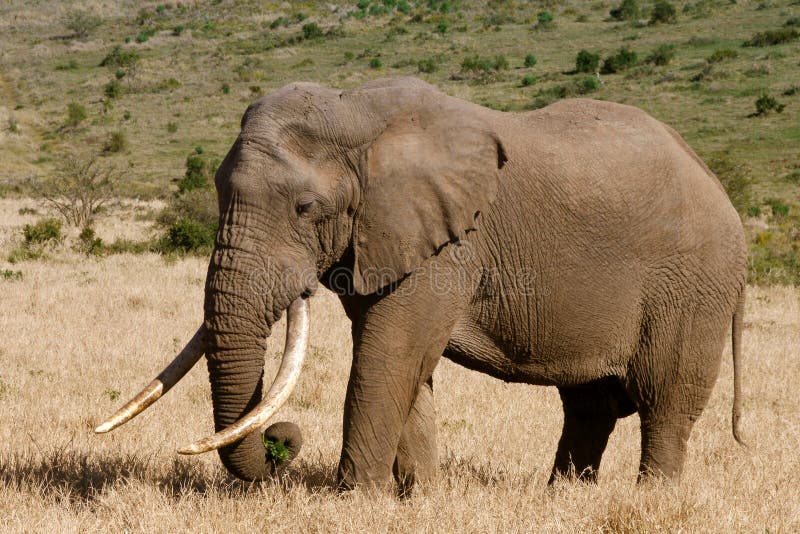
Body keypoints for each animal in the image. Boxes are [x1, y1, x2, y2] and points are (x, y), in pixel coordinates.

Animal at [97, 77, 747, 490]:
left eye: (306, 208)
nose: (283, 442)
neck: (358, 113)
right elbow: (404, 361)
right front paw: (419, 499)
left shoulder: (451, 244)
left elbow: (388, 354)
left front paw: (354, 499)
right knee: (589, 406)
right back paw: (563, 497)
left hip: (694, 282)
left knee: (666, 400)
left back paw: (651, 501)